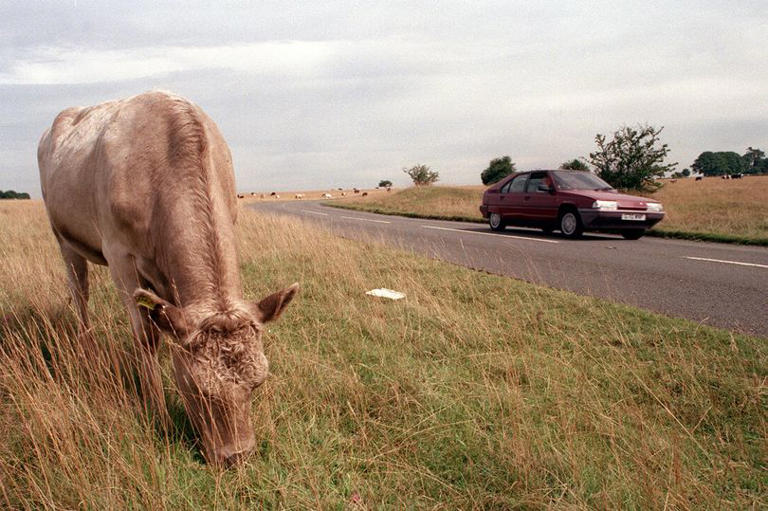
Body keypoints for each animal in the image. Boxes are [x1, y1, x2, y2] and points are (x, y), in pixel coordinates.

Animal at [38, 91, 299, 467]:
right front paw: (156, 410)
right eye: (196, 388)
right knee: (79, 293)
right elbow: (146, 334)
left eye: (258, 382)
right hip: (63, 237)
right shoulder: (119, 255)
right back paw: (87, 350)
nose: (236, 458)